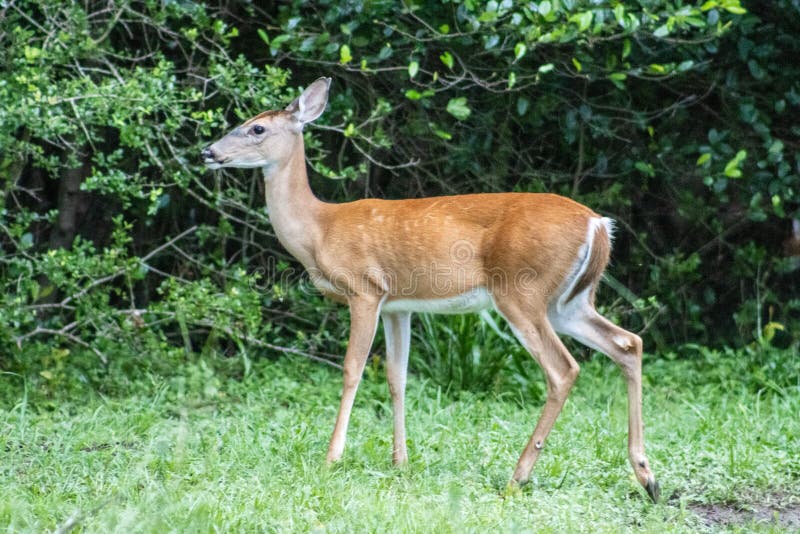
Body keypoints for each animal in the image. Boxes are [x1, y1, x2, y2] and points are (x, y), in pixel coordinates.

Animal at [201, 77, 660, 502]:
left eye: (256, 128)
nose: (208, 151)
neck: (318, 229)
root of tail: (598, 225)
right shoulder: (396, 306)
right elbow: (397, 377)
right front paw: (400, 461)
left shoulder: (364, 289)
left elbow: (351, 370)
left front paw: (332, 458)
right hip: (569, 301)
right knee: (627, 343)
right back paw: (647, 477)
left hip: (521, 291)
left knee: (564, 369)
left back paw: (518, 477)